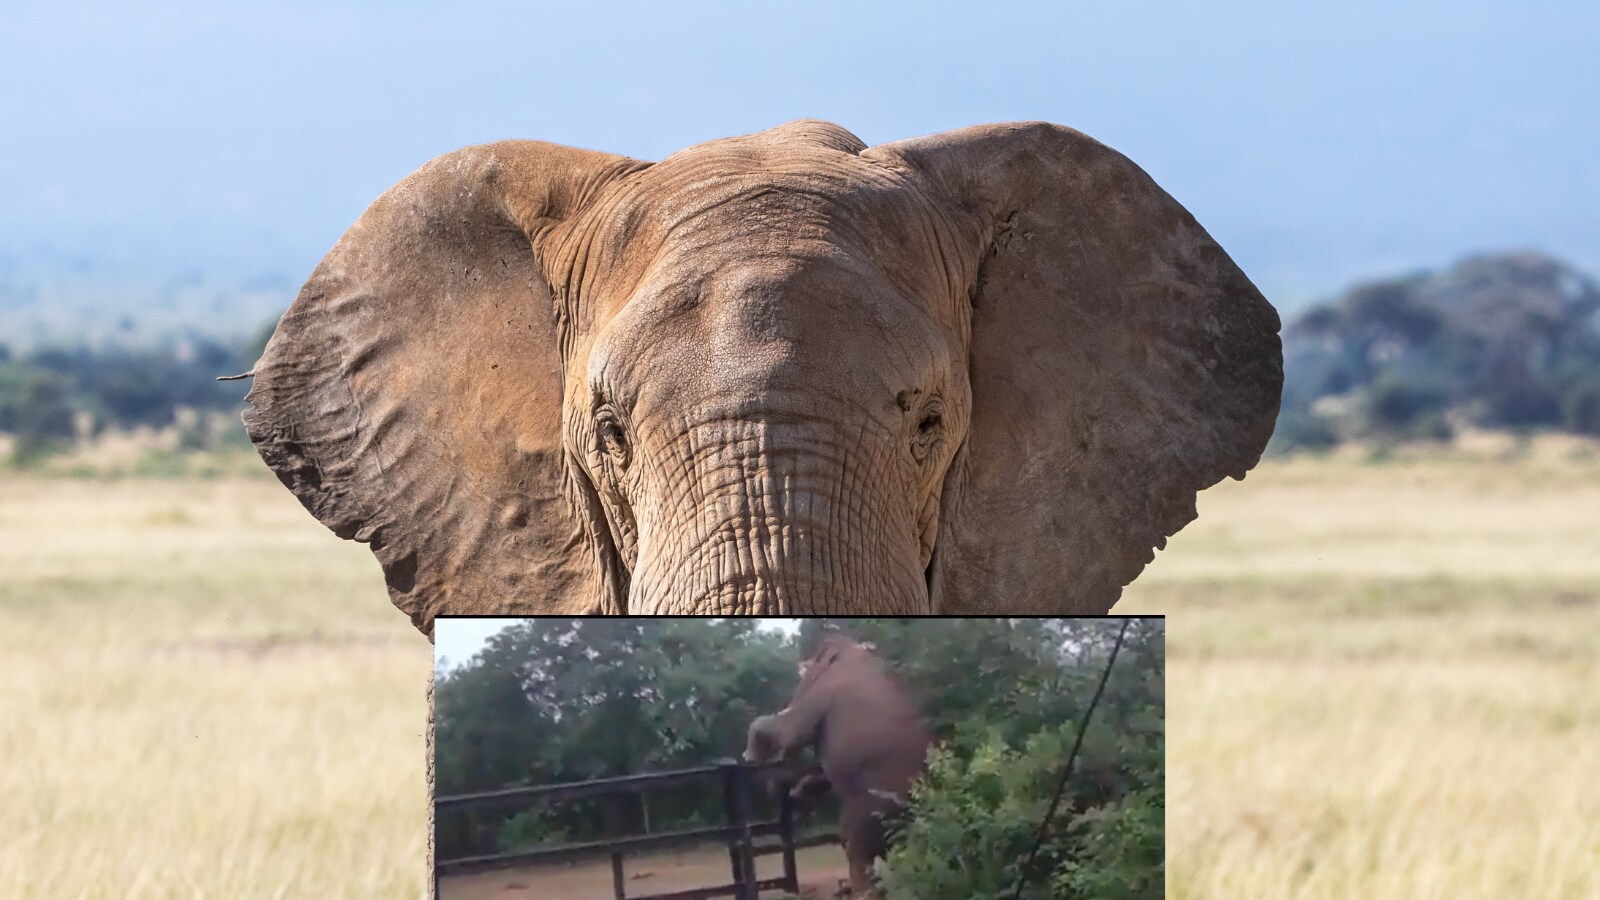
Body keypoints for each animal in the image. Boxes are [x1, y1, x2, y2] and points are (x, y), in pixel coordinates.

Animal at [742, 633, 931, 897]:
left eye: (809, 669)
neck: (850, 651)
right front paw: (801, 793)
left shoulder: (823, 694)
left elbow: (792, 730)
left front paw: (749, 756)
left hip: (866, 812)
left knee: (855, 848)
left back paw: (858, 890)